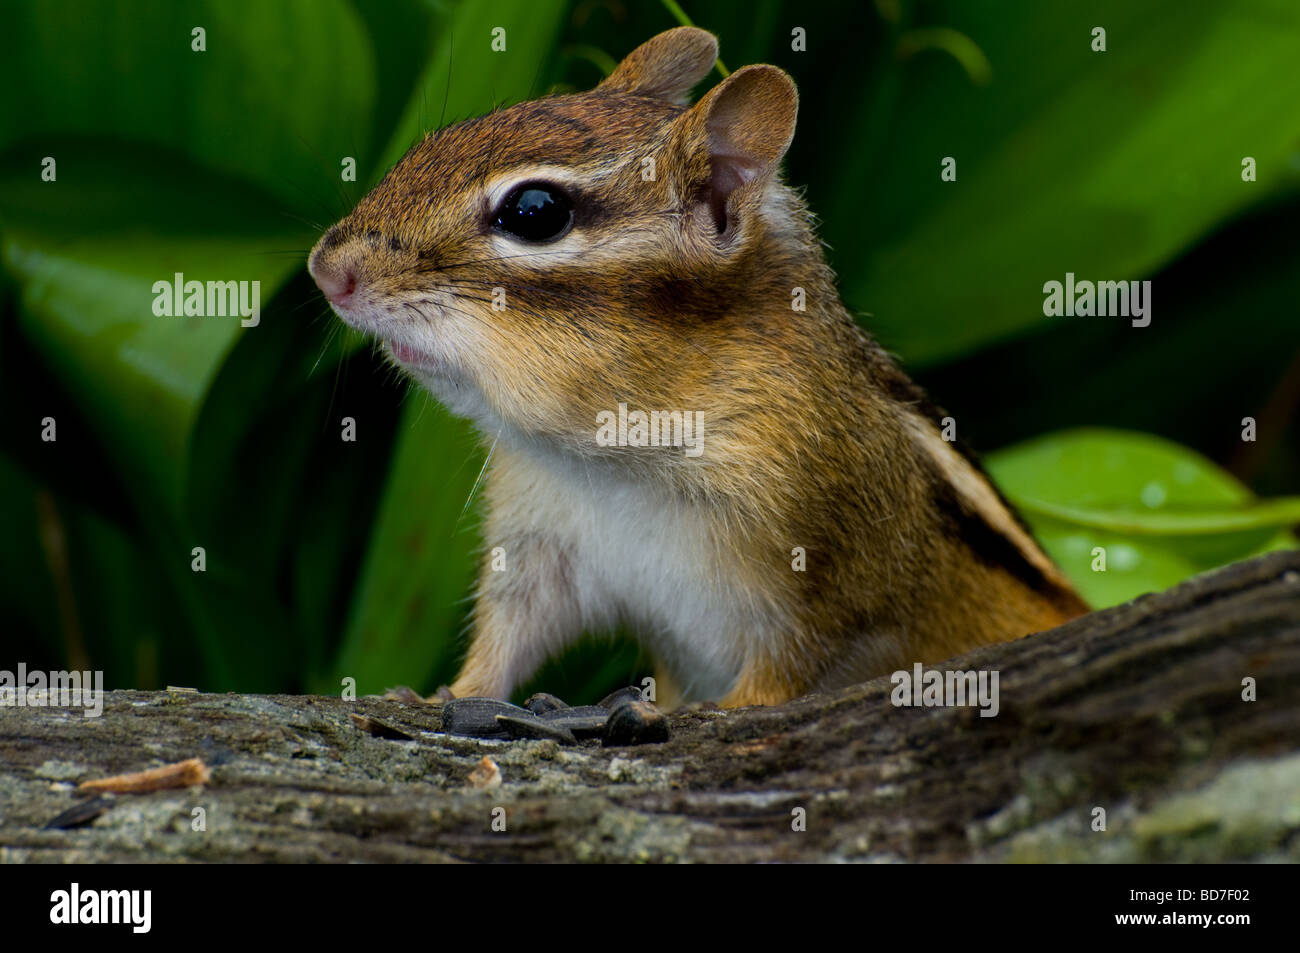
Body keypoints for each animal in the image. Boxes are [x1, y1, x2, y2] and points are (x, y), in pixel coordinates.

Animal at [308, 27, 1089, 708]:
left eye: (534, 211)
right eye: (435, 141)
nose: (326, 269)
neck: (618, 448)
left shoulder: (823, 581)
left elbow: (785, 670)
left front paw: (702, 713)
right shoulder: (539, 546)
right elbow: (508, 637)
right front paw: (445, 695)